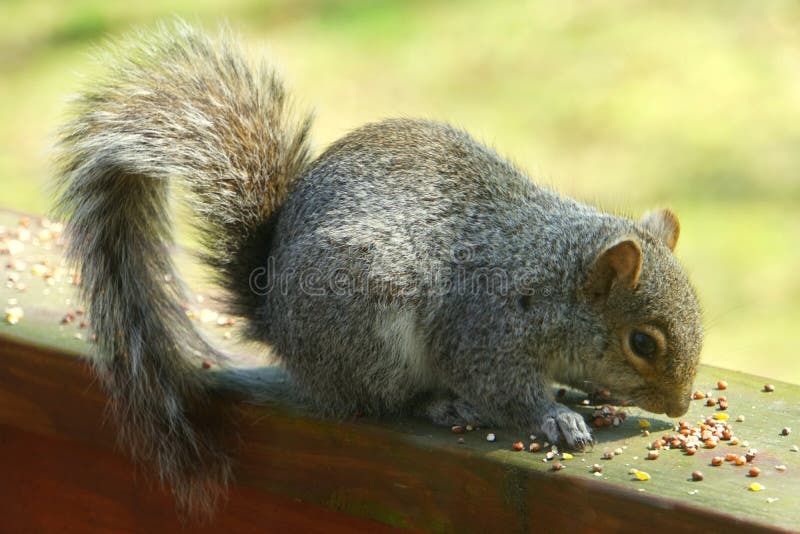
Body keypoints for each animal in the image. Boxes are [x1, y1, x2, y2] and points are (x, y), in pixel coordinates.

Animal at [54, 21, 703, 515]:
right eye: (642, 342)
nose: (679, 408)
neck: (550, 275)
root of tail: (278, 323)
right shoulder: (486, 328)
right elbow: (503, 388)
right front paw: (556, 417)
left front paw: (592, 393)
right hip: (371, 324)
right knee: (382, 401)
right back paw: (440, 404)